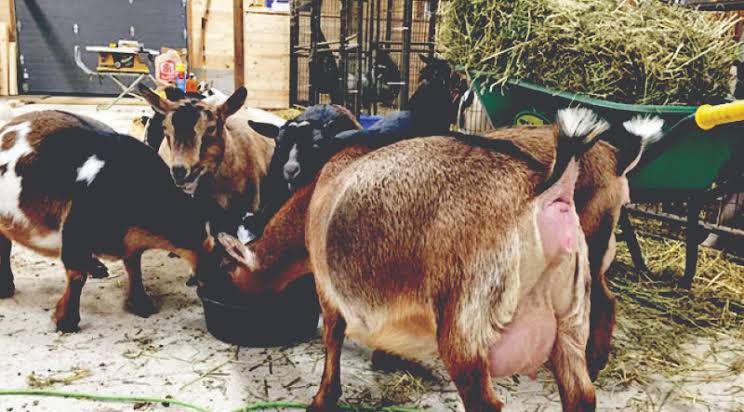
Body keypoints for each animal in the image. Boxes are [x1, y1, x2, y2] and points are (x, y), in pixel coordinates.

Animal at [0, 110, 216, 332]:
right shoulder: (75, 232)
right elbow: (77, 275)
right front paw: (66, 320)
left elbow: (134, 266)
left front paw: (141, 304)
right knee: (5, 243)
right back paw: (6, 287)